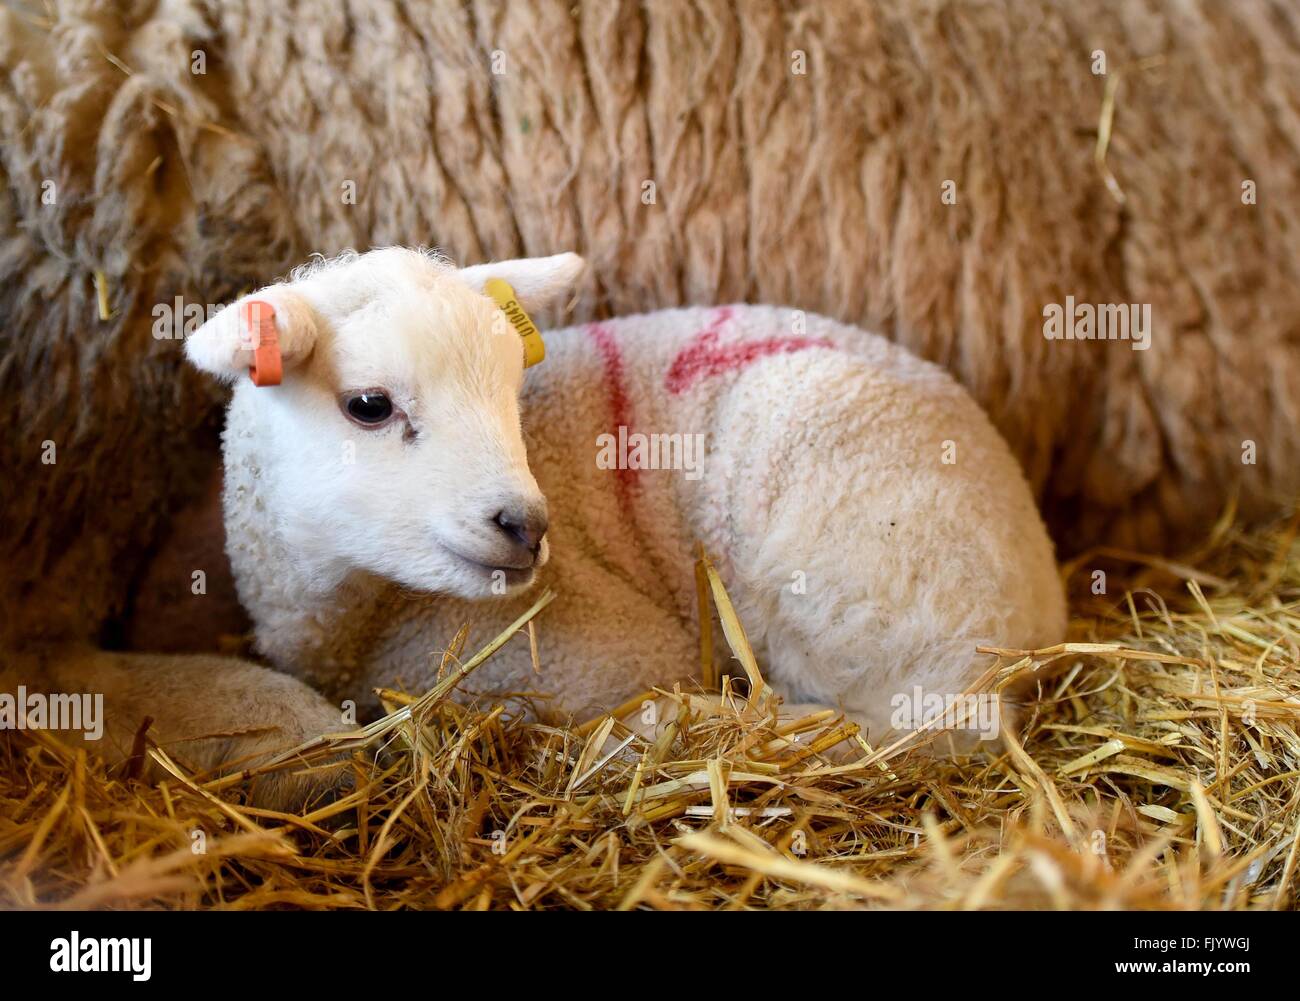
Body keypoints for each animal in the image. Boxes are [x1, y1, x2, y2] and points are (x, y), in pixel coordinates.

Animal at [175, 247, 1066, 753]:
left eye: (511, 389)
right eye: (368, 404)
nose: (526, 525)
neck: (356, 615)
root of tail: (1042, 584)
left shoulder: (611, 651)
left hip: (874, 578)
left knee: (933, 725)